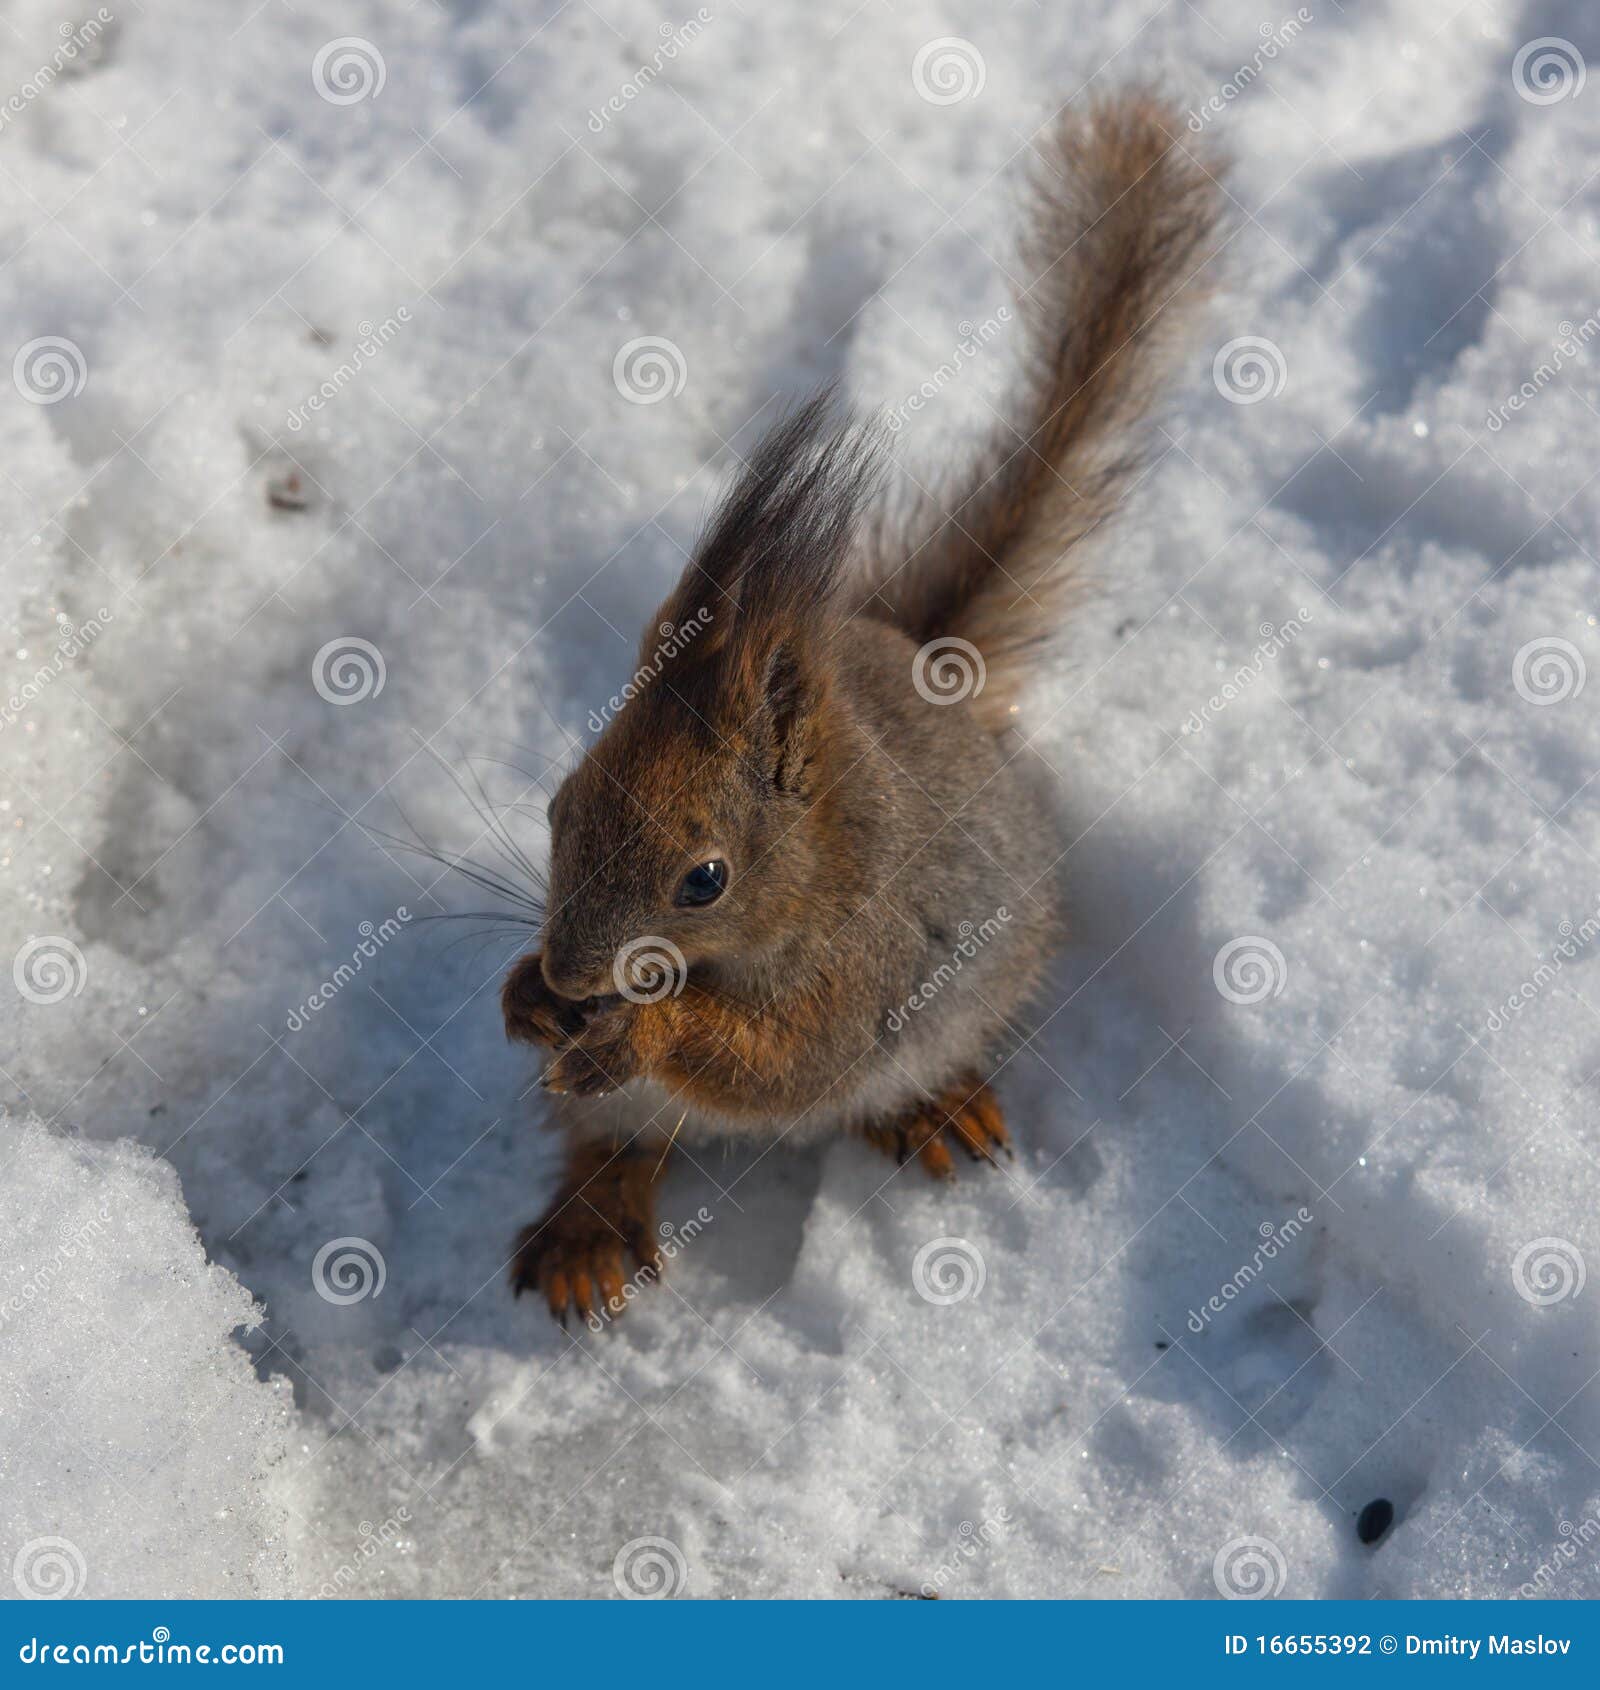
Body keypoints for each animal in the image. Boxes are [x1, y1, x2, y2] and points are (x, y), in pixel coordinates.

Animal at [499, 90, 1224, 1325]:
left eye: (704, 880)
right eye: (558, 808)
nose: (572, 978)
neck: (818, 857)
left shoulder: (867, 958)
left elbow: (786, 1056)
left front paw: (652, 1023)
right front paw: (519, 998)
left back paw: (932, 1106)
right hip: (620, 1117)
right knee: (617, 1145)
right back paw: (588, 1231)